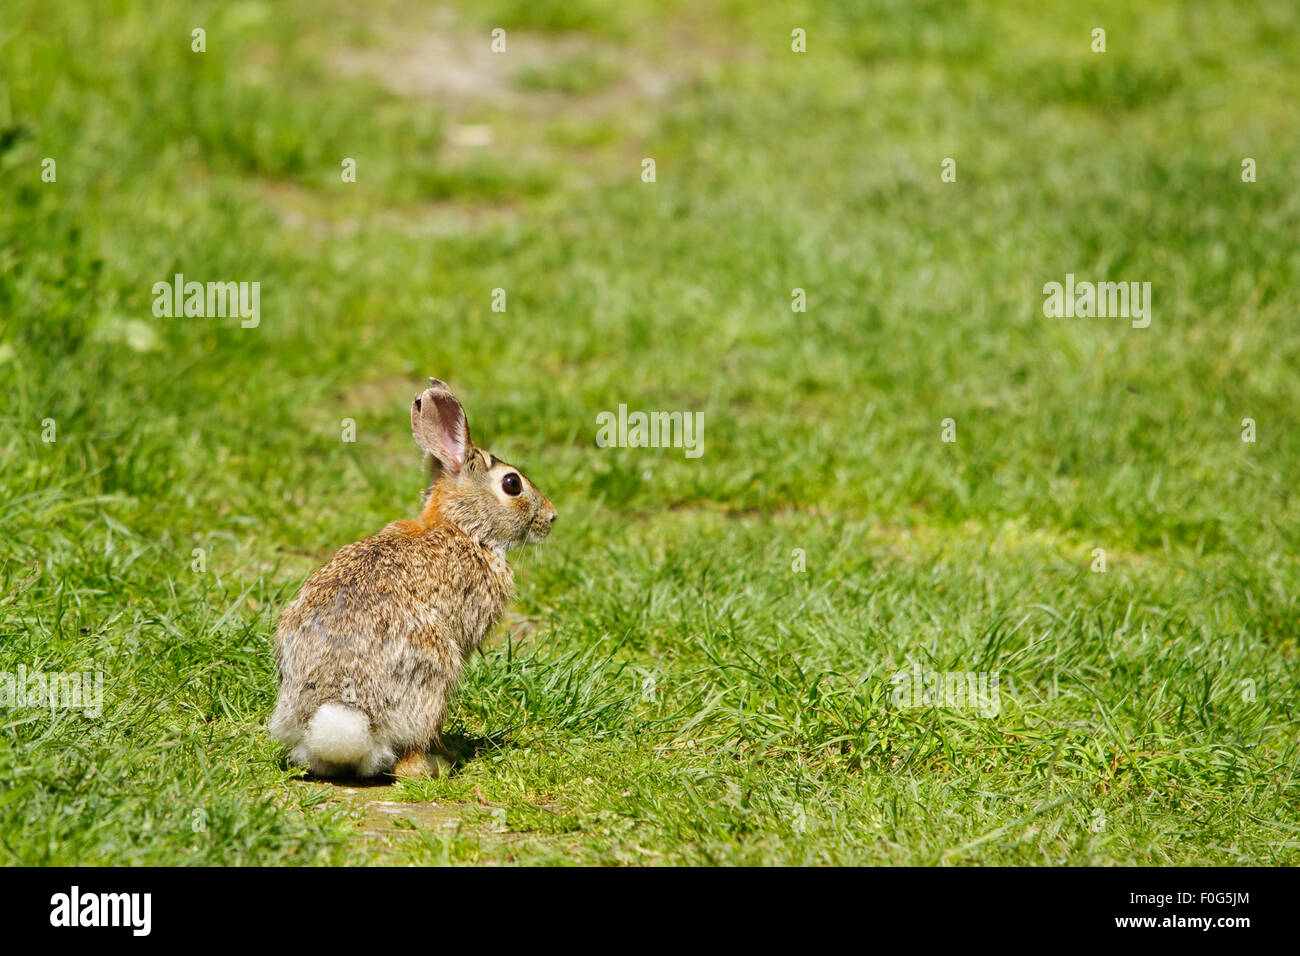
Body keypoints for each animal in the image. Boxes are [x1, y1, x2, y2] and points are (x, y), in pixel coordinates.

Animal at [269, 378, 557, 779]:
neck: (464, 528)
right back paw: (440, 763)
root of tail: (345, 712)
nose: (552, 516)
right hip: (434, 675)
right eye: (512, 484)